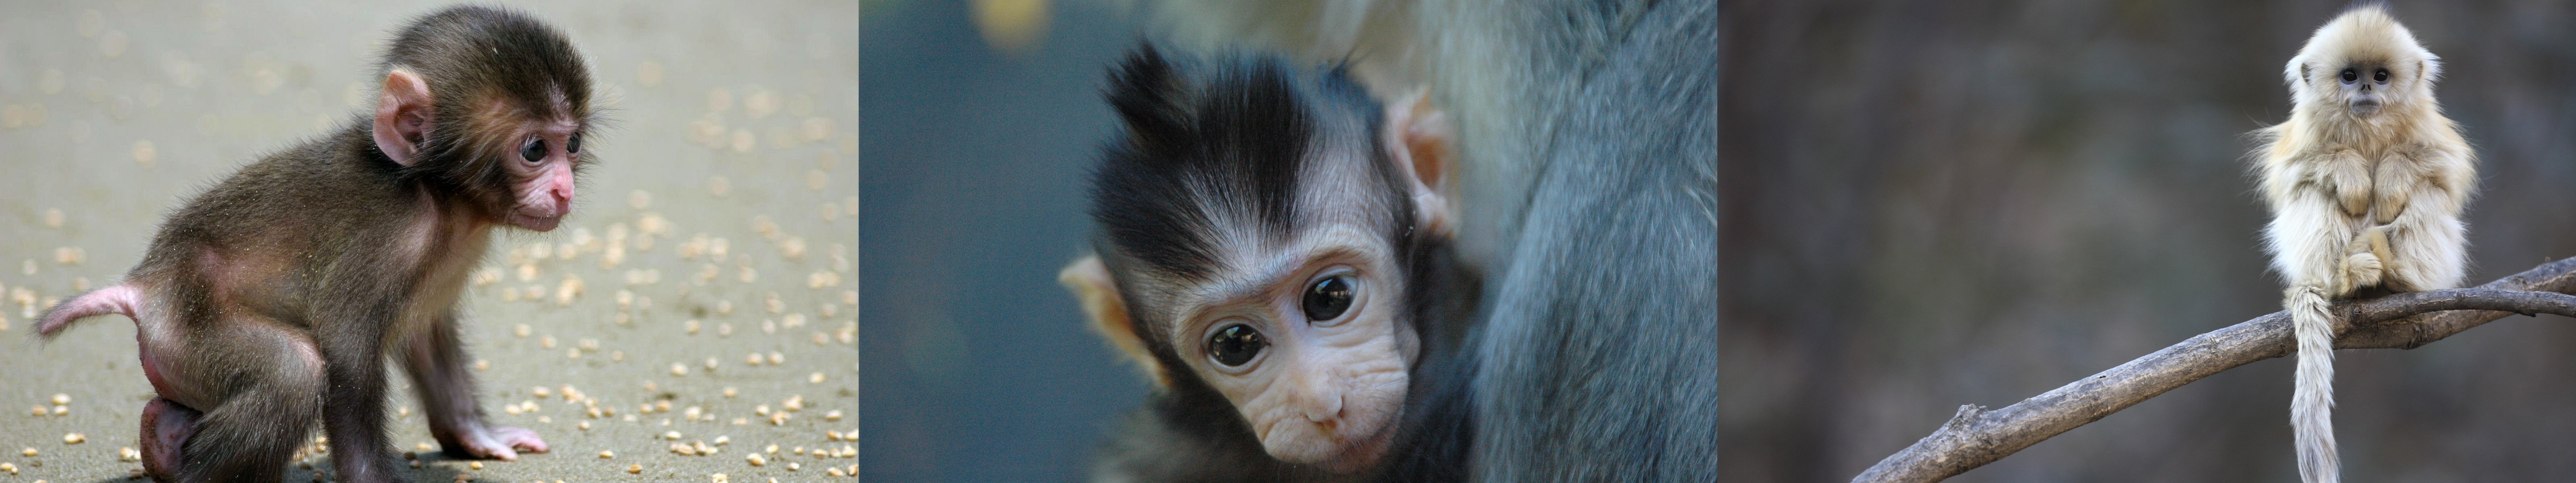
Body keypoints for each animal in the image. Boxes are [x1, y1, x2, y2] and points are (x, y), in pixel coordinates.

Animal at [32, 6, 591, 482]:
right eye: (534, 150)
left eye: (573, 143)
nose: (565, 190)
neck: (440, 196)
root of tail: (145, 286)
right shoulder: (390, 243)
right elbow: (345, 349)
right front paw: (371, 476)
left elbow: (426, 337)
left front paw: (474, 435)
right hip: (188, 329)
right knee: (294, 372)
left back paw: (159, 438)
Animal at [2252, 6, 2475, 483]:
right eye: (2350, 76)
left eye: (2382, 76)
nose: (2368, 88)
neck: (2368, 127)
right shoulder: (2303, 138)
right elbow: (2295, 173)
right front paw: (2353, 177)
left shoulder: (2432, 131)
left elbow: (2443, 169)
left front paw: (2390, 179)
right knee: (2314, 192)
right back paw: (2348, 278)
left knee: (2426, 193)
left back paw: (2399, 278)